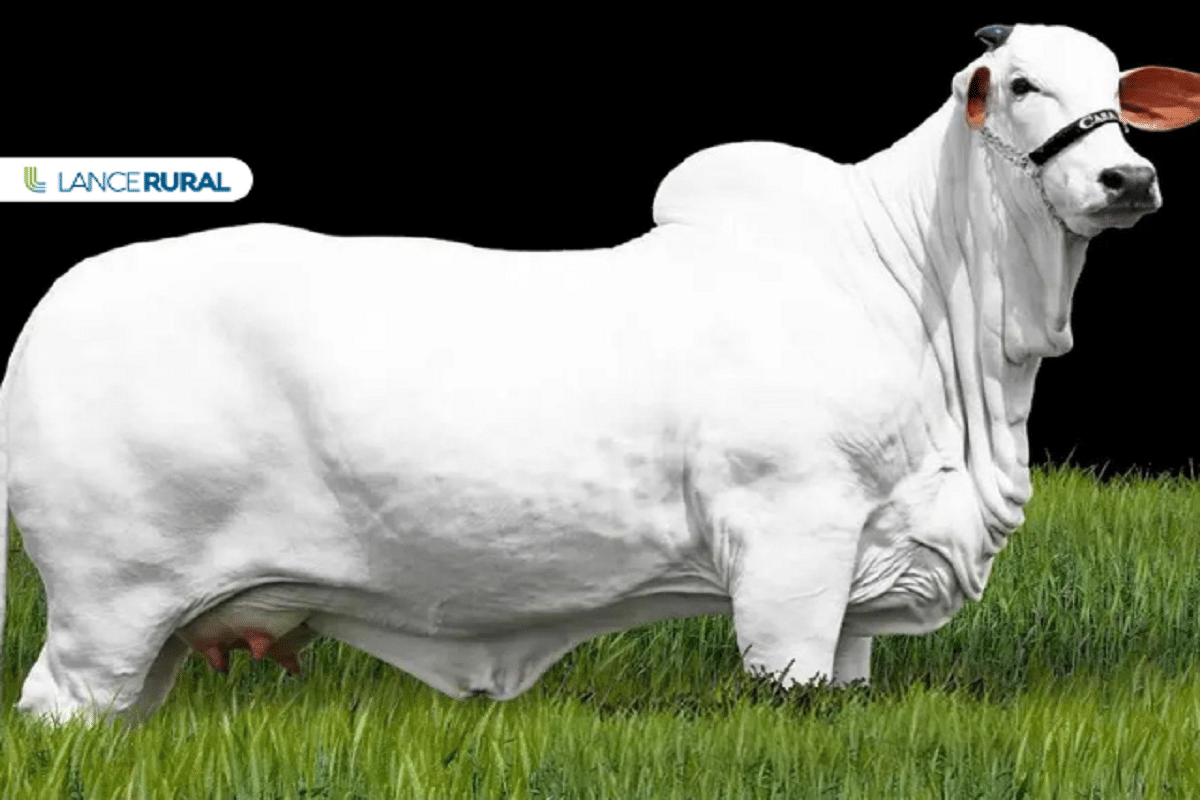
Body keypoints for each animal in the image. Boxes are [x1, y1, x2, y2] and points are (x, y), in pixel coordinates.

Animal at [3, 24, 1199, 725]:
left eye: (1119, 91)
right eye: (1025, 84)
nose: (1126, 178)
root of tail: (58, 305)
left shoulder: (870, 563)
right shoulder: (792, 542)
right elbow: (790, 683)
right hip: (106, 601)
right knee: (59, 705)